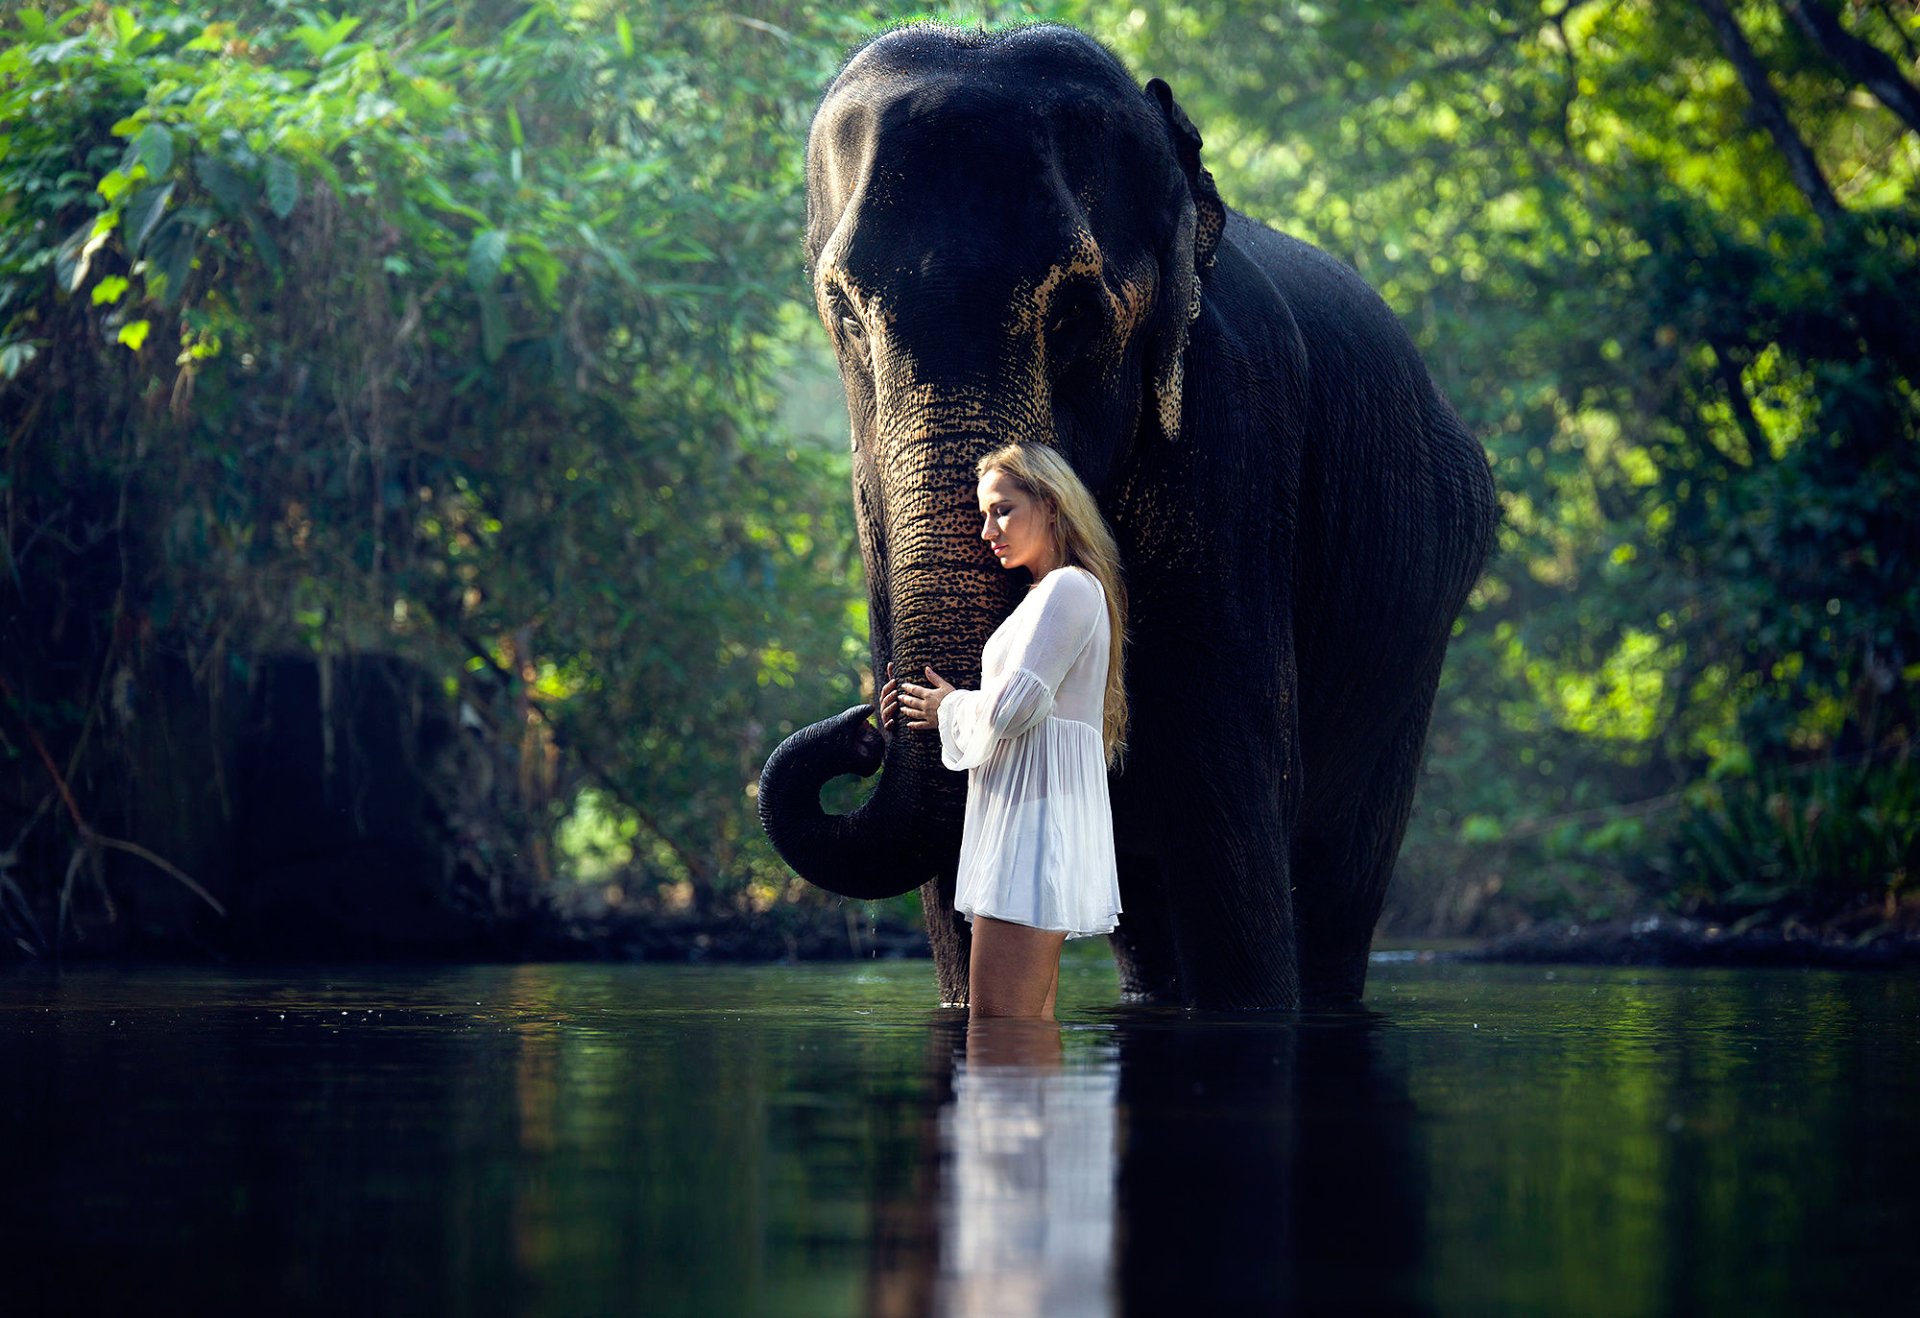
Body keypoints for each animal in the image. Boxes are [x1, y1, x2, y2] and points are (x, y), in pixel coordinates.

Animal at [757, 23, 1498, 1010]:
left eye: (1075, 314)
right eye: (842, 313)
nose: (862, 727)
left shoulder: (1236, 433)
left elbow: (1224, 795)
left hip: (1416, 636)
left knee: (1338, 873)